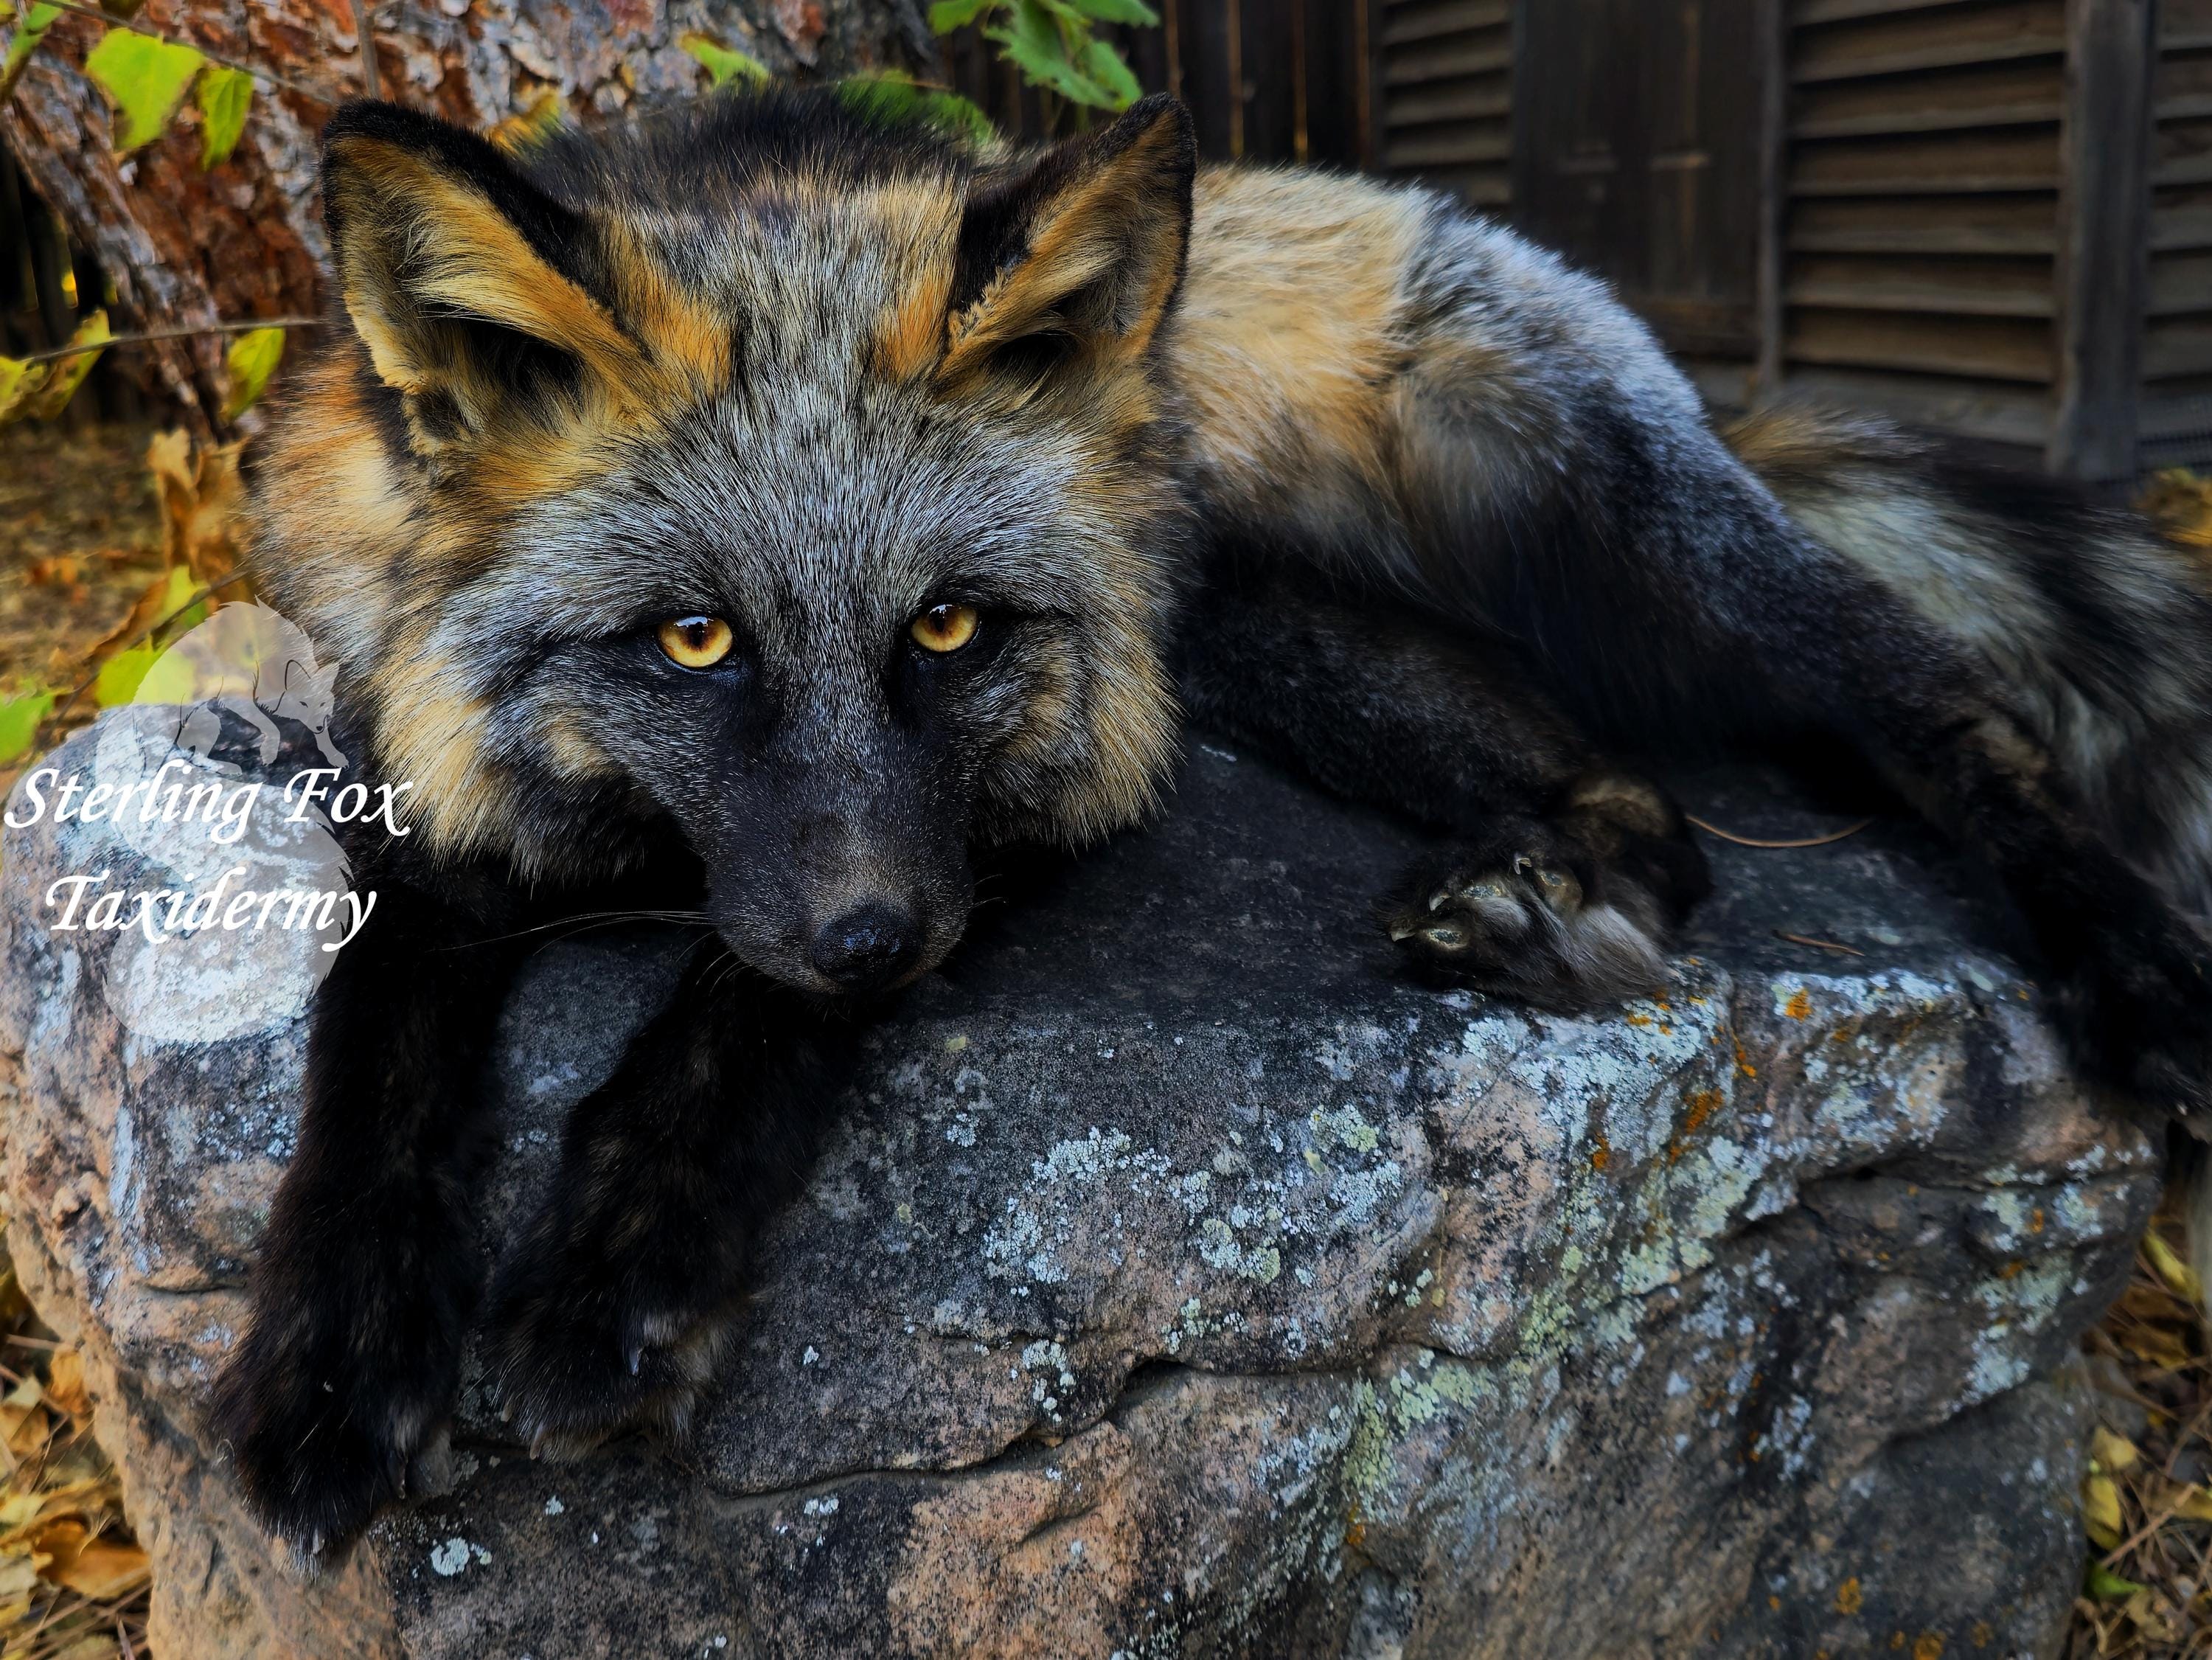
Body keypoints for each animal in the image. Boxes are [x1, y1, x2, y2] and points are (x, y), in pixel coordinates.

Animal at [212, 83, 2212, 1560]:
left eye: (947, 629)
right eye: (693, 640)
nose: (875, 939)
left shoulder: (1058, 769)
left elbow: (737, 1012)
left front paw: (621, 1264)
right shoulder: (423, 770)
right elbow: (372, 1033)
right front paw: (331, 1360)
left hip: (1590, 532)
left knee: (1935, 706)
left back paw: (2126, 971)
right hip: (1263, 632)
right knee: (1644, 800)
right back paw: (1546, 885)